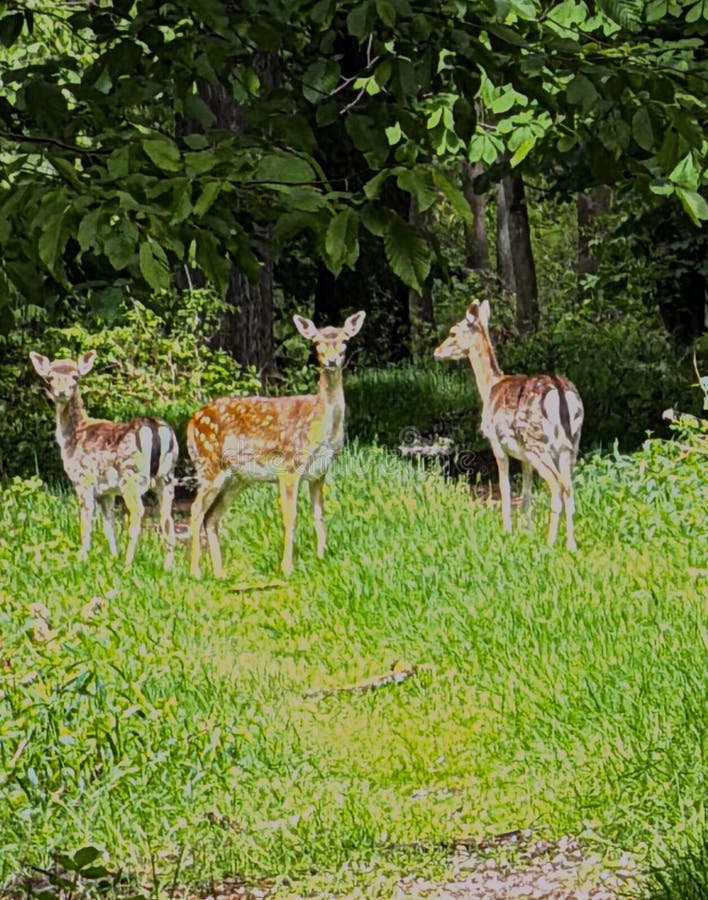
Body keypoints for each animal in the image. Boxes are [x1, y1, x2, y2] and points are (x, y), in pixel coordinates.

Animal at [30, 350, 178, 568]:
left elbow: (86, 521)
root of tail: (155, 429)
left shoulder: (83, 479)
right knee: (168, 520)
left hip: (131, 476)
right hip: (167, 476)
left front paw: (82, 556)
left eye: (75, 376)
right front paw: (113, 556)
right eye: (50, 377)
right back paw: (168, 567)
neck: (72, 437)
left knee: (138, 513)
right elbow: (109, 525)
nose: (62, 392)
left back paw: (128, 564)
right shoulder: (105, 492)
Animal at [186, 311, 366, 578]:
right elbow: (290, 516)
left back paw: (220, 574)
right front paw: (287, 567)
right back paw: (195, 571)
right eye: (316, 342)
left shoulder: (319, 472)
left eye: (344, 340)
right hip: (208, 464)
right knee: (196, 510)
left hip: (237, 478)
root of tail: (190, 424)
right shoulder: (289, 466)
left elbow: (318, 514)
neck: (321, 427)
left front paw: (321, 557)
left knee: (211, 517)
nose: (332, 361)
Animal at [434, 300, 584, 550]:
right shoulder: (523, 457)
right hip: (571, 443)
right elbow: (526, 493)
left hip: (537, 443)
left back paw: (550, 542)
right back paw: (571, 544)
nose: (437, 351)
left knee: (556, 485)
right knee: (568, 486)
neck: (489, 387)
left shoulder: (496, 443)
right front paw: (528, 530)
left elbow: (505, 488)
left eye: (453, 332)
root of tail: (561, 393)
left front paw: (507, 530)